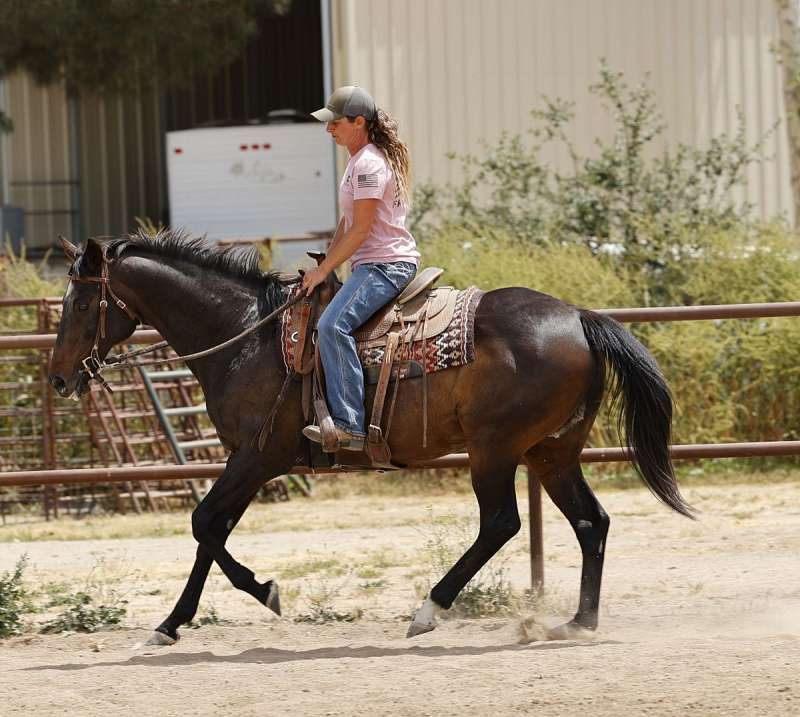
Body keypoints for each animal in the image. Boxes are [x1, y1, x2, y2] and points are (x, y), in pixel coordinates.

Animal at [48, 230, 693, 644]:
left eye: (79, 302)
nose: (57, 378)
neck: (247, 336)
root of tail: (580, 317)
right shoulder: (247, 462)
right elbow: (213, 531)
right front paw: (183, 619)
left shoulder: (257, 458)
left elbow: (204, 524)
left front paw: (252, 596)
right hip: (551, 452)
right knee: (591, 522)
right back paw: (579, 623)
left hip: (495, 449)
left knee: (501, 524)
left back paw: (428, 610)